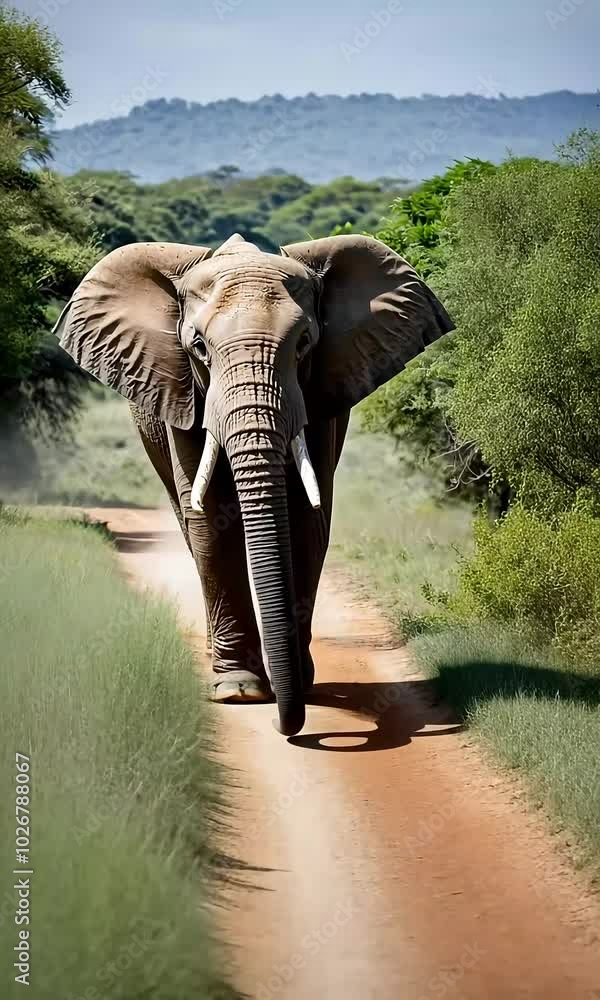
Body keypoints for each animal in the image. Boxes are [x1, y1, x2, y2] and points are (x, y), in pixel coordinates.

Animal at [55, 233, 453, 736]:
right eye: (199, 347)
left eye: (305, 344)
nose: (291, 728)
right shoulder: (183, 393)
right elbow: (211, 521)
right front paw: (240, 692)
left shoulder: (319, 398)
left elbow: (306, 518)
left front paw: (299, 684)